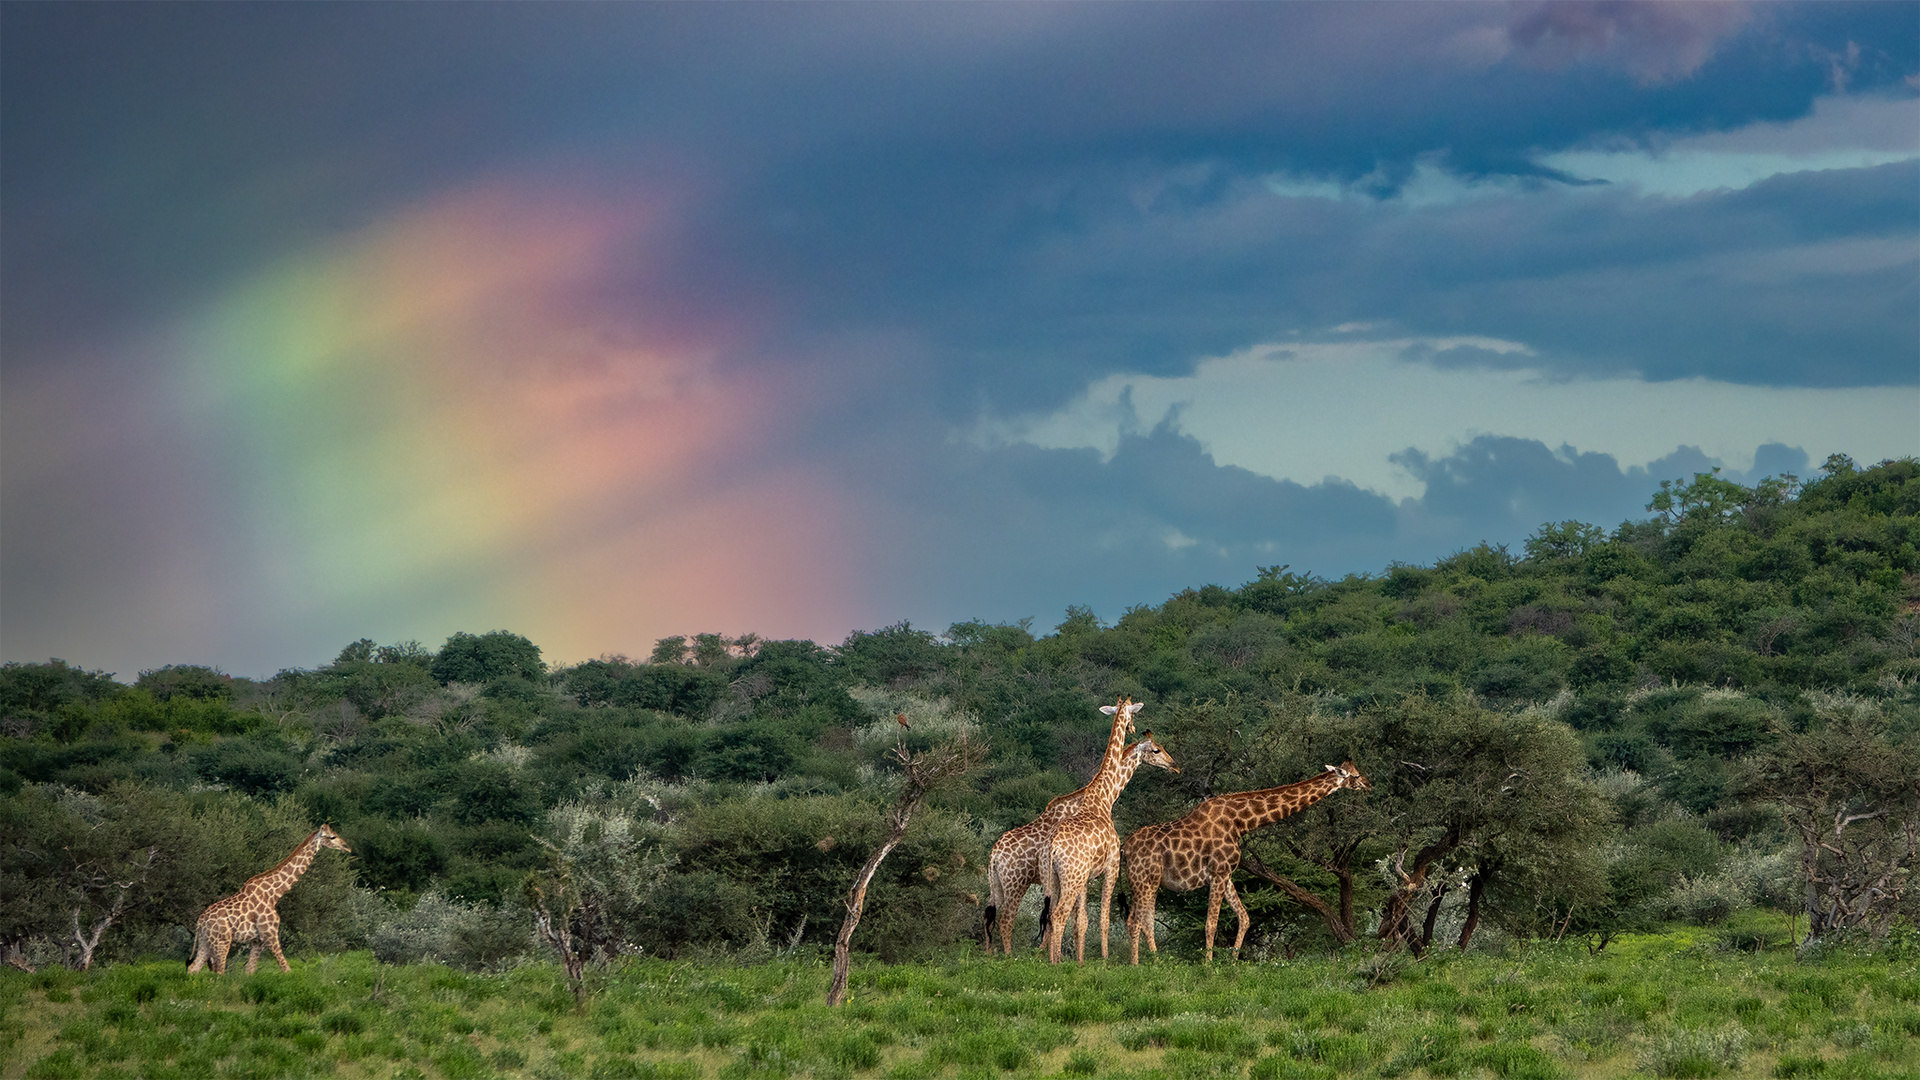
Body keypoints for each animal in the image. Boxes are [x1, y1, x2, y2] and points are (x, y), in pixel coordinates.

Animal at [191, 818, 353, 972]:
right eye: (332, 837)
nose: (347, 847)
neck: (273, 895)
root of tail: (200, 922)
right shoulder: (270, 934)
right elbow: (286, 968)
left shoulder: (257, 941)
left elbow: (250, 970)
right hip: (222, 942)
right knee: (219, 972)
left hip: (206, 943)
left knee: (193, 968)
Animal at [983, 687, 1128, 949]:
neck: (1101, 797)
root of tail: (994, 855)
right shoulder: (1102, 865)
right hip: (1017, 882)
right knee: (1010, 919)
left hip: (998, 882)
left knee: (991, 916)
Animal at [1044, 730, 1175, 957]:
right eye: (1156, 749)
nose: (1173, 764)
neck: (1104, 799)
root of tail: (1053, 847)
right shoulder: (1112, 864)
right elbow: (1103, 918)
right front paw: (1104, 959)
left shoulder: (1087, 876)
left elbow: (1081, 921)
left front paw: (1081, 960)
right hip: (1071, 877)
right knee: (1059, 915)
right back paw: (1057, 961)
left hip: (1056, 877)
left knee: (1051, 915)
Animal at [1121, 757, 1374, 957]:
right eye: (1356, 775)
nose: (1369, 785)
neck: (1240, 822)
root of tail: (1125, 847)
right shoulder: (1218, 873)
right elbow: (1211, 923)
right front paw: (1208, 966)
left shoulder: (1226, 875)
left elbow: (1244, 917)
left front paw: (1233, 961)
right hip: (1147, 881)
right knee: (1140, 921)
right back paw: (1149, 964)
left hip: (1142, 882)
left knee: (1137, 921)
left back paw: (1141, 964)